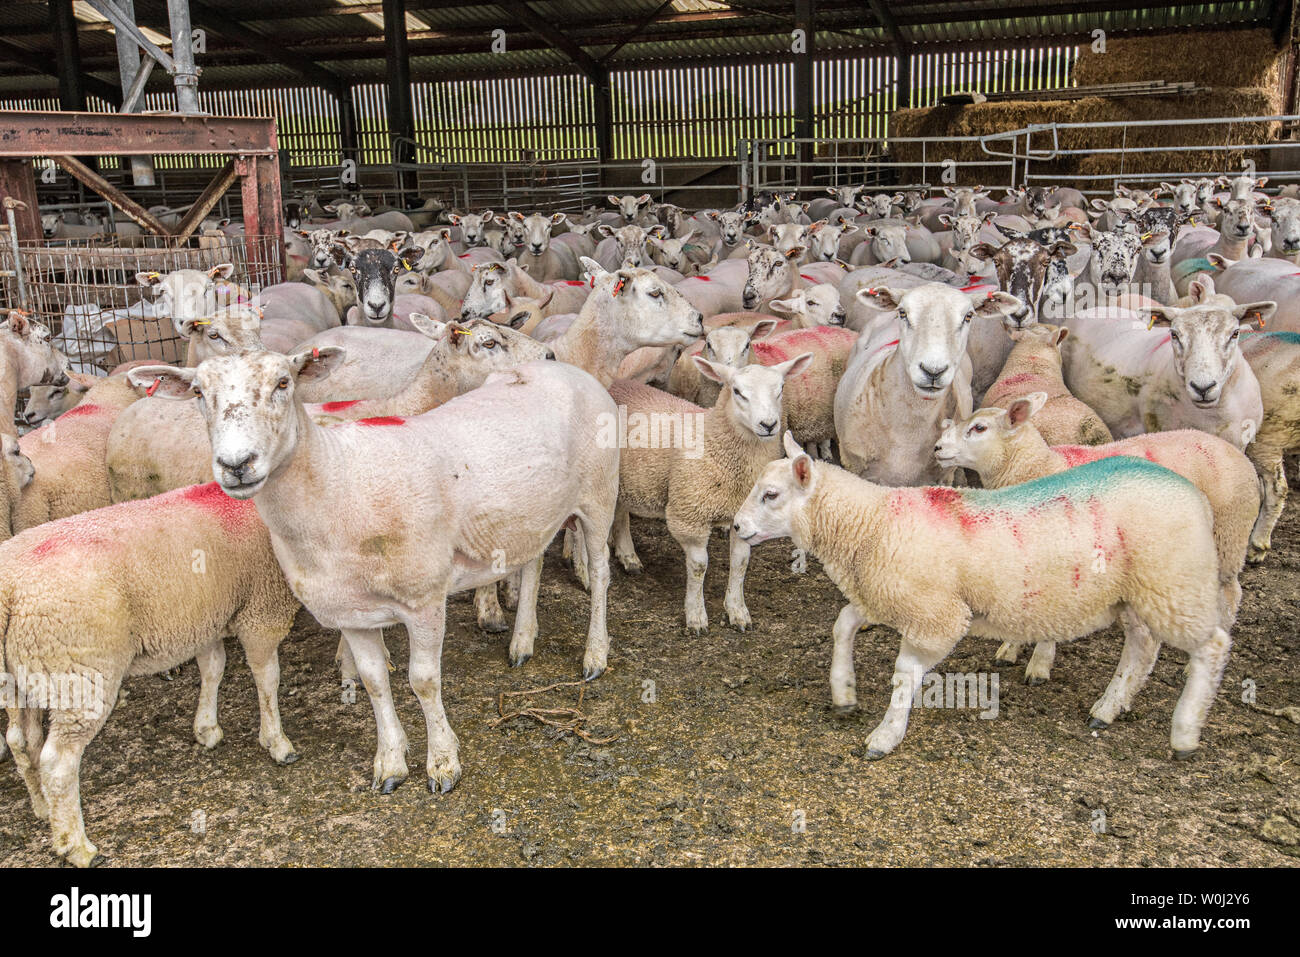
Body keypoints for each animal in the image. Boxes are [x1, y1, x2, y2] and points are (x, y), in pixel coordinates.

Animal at [1, 482, 301, 867]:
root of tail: (9, 587)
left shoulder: (204, 617)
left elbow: (213, 668)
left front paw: (206, 728)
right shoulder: (261, 610)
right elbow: (267, 678)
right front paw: (276, 742)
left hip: (24, 677)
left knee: (22, 742)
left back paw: (43, 808)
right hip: (78, 674)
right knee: (58, 763)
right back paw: (77, 845)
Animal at [134, 351, 619, 797]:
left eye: (283, 383)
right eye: (198, 392)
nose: (236, 464)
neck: (337, 484)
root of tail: (563, 366)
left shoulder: (424, 598)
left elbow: (423, 681)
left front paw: (443, 762)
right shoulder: (350, 612)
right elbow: (373, 683)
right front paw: (390, 763)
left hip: (599, 496)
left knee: (599, 573)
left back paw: (595, 655)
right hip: (532, 515)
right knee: (533, 562)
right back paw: (522, 641)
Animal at [608, 352, 812, 632]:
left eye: (780, 388)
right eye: (737, 392)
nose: (769, 425)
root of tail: (615, 383)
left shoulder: (743, 516)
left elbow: (740, 563)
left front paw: (737, 611)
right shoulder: (689, 515)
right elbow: (698, 567)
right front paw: (696, 616)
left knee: (620, 511)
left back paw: (628, 556)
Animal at [732, 433, 1232, 761]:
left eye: (771, 494)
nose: (736, 526)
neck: (871, 524)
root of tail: (1197, 497)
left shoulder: (937, 614)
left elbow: (904, 673)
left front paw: (885, 736)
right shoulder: (886, 595)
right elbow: (842, 624)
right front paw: (843, 690)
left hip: (1174, 584)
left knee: (1212, 645)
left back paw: (1185, 732)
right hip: (1137, 593)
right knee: (1142, 649)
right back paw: (1108, 709)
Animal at [935, 395, 1258, 682]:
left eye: (979, 428)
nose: (937, 447)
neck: (1041, 467)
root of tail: (1237, 451)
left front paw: (1039, 664)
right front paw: (1012, 648)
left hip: (1229, 535)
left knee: (1230, 594)